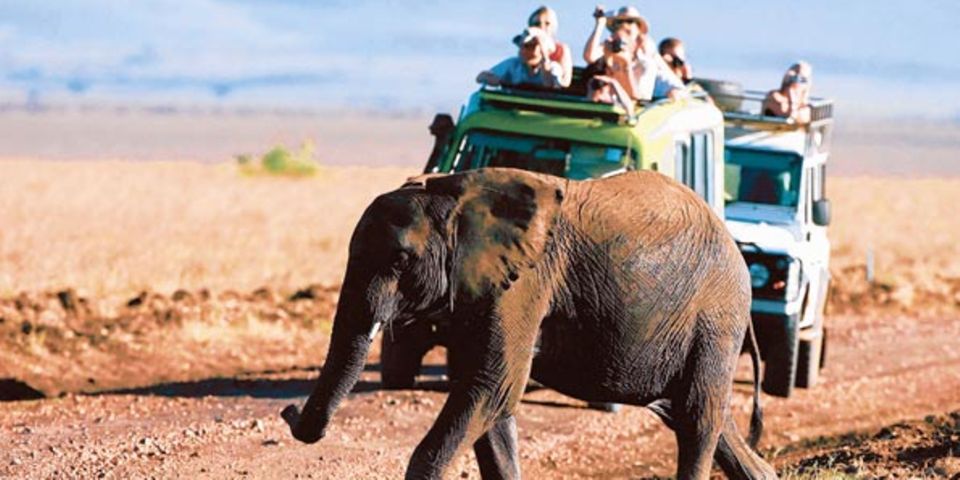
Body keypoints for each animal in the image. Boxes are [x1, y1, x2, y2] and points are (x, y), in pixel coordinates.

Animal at [281, 168, 777, 479]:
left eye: (401, 260)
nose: (288, 411)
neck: (451, 195)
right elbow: (490, 400)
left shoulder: (526, 281)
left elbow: (493, 385)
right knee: (708, 417)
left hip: (715, 315)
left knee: (697, 418)